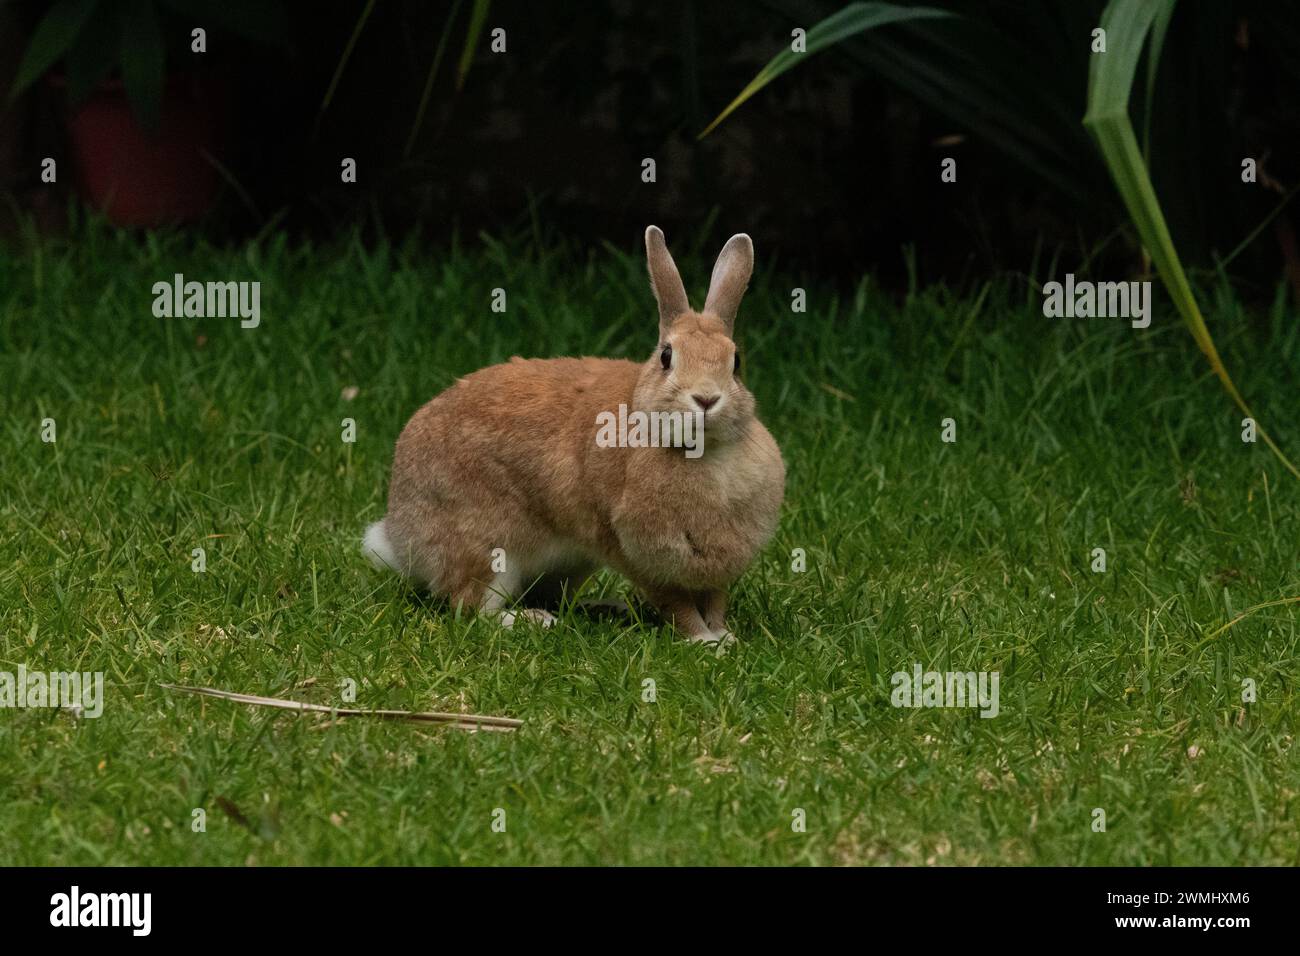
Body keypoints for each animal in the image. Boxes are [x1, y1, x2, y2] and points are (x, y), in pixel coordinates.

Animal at [363, 226, 785, 643]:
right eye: (667, 357)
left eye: (736, 362)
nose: (706, 398)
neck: (702, 450)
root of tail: (401, 534)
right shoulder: (635, 552)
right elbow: (677, 605)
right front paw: (704, 641)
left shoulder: (715, 568)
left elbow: (714, 600)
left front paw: (724, 636)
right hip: (490, 549)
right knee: (471, 607)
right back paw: (531, 621)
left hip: (571, 564)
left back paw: (608, 609)